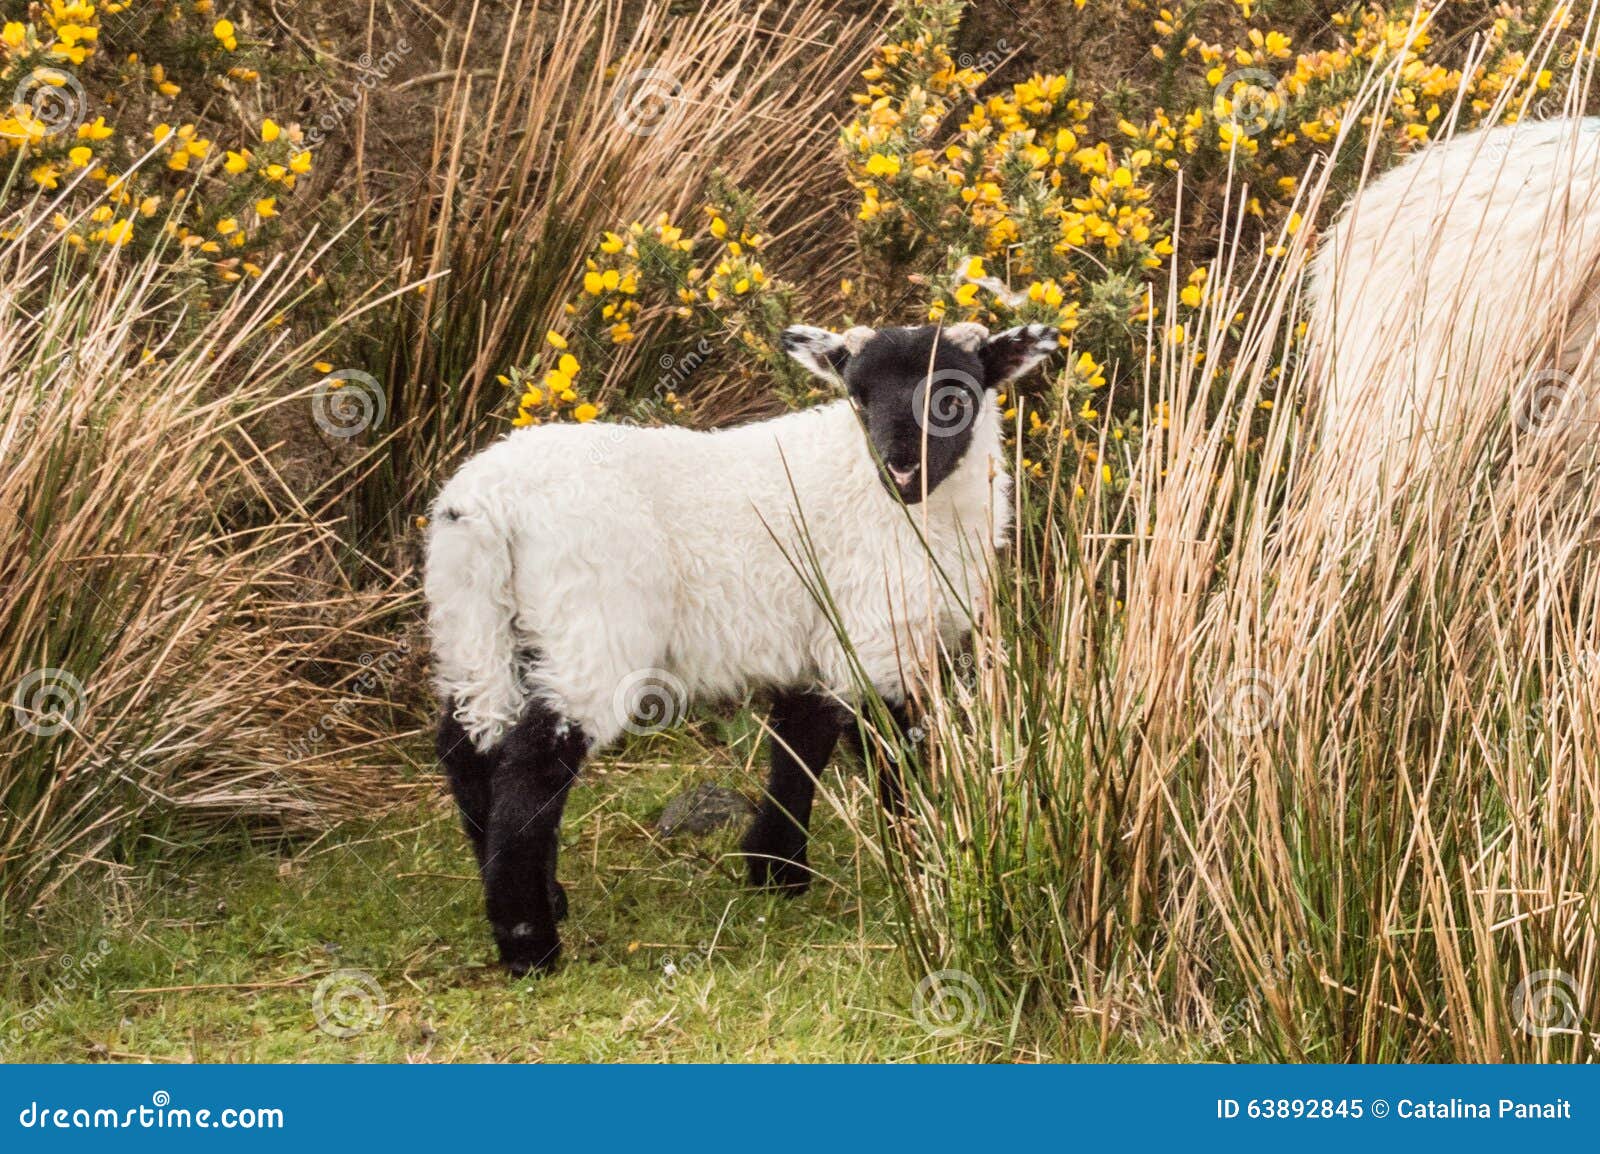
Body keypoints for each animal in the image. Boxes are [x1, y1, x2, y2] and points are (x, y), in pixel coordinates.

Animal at [424, 321, 1062, 973]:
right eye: (858, 398)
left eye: (953, 398)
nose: (900, 469)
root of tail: (484, 505)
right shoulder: (877, 633)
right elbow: (890, 754)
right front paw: (924, 864)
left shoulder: (821, 636)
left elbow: (800, 742)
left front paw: (776, 869)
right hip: (587, 626)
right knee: (531, 767)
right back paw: (530, 943)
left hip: (474, 624)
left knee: (467, 750)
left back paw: (542, 895)